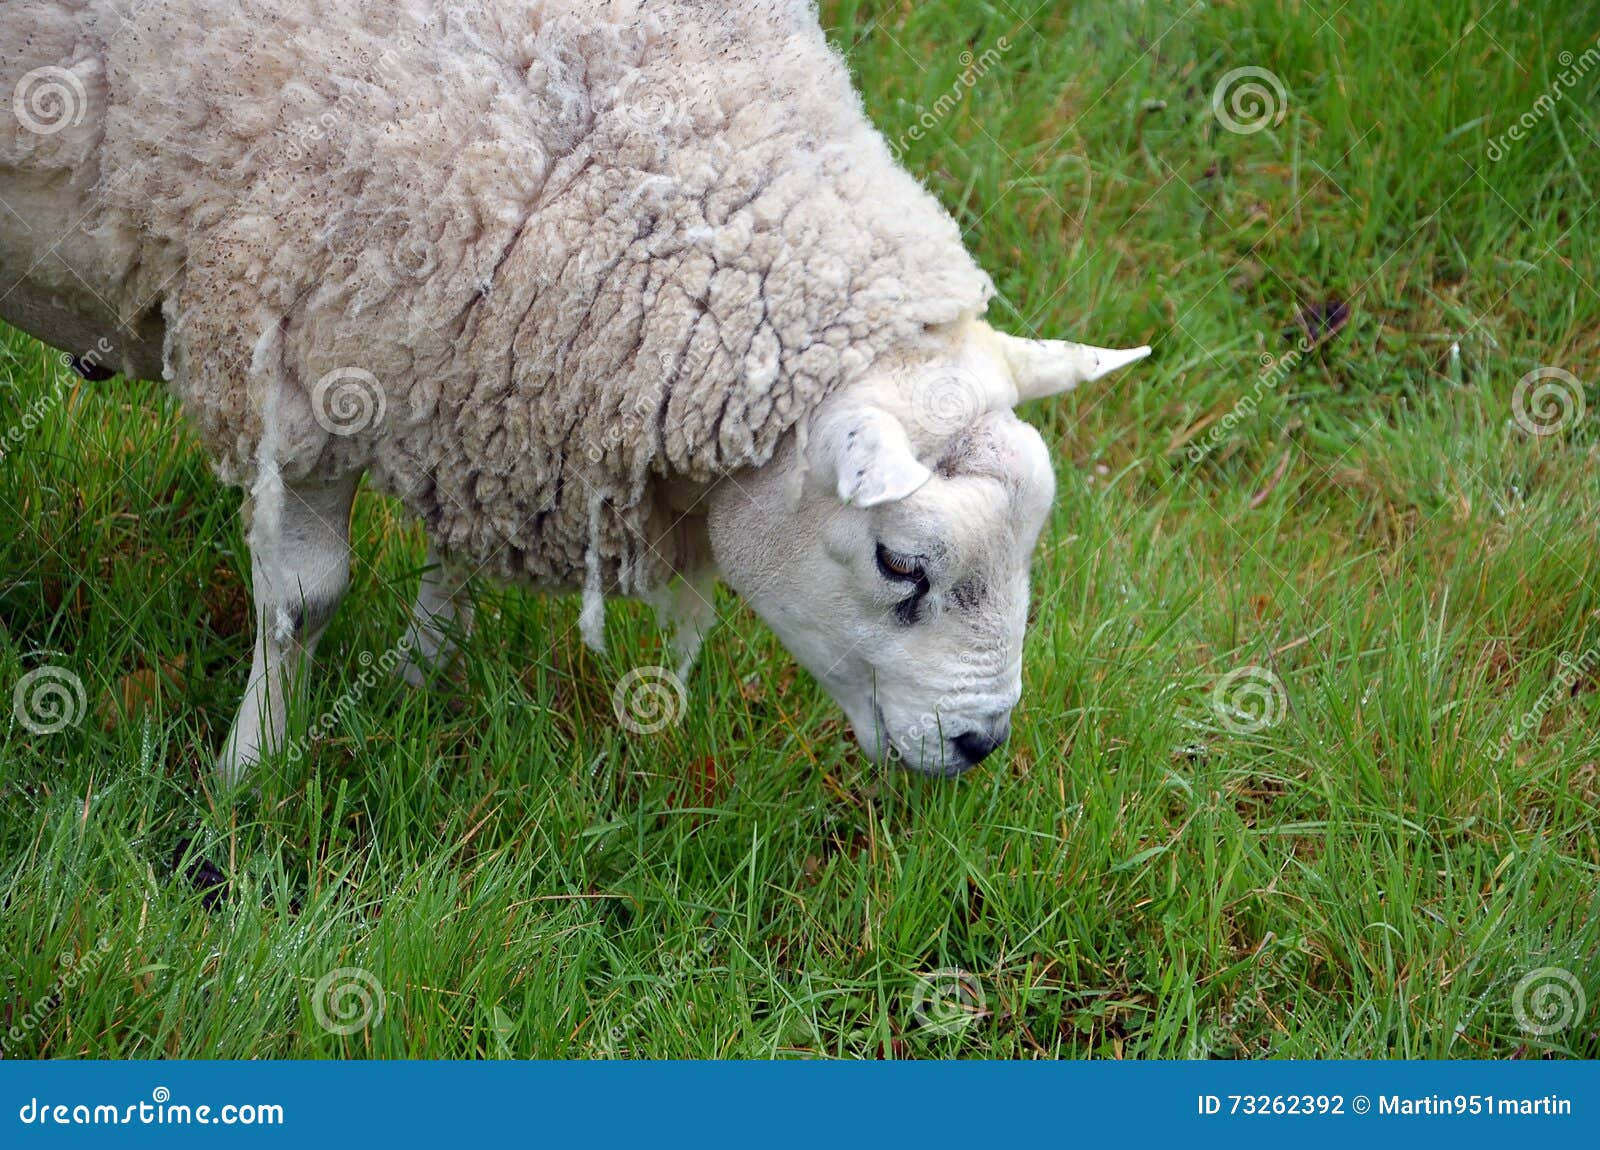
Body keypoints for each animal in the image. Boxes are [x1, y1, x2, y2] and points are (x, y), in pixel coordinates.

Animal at [0, 0, 1149, 781]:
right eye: (899, 563)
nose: (981, 742)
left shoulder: (476, 377)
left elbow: (454, 564)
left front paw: (417, 682)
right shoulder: (298, 370)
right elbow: (301, 601)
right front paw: (252, 776)